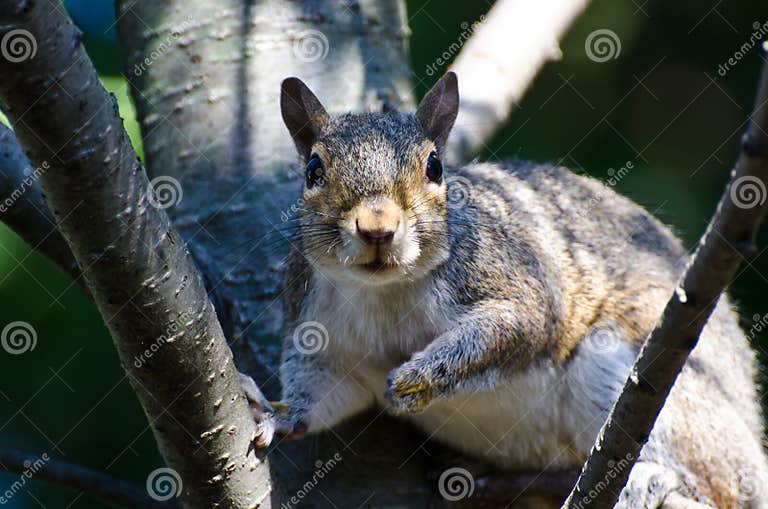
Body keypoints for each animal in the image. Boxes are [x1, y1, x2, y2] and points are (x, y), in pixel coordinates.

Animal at [239, 72, 768, 508]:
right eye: (313, 170)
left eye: (435, 167)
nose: (377, 229)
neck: (386, 289)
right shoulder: (322, 333)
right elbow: (326, 391)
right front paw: (275, 413)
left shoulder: (516, 280)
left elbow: (518, 327)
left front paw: (415, 379)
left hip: (654, 387)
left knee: (718, 482)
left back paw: (655, 477)